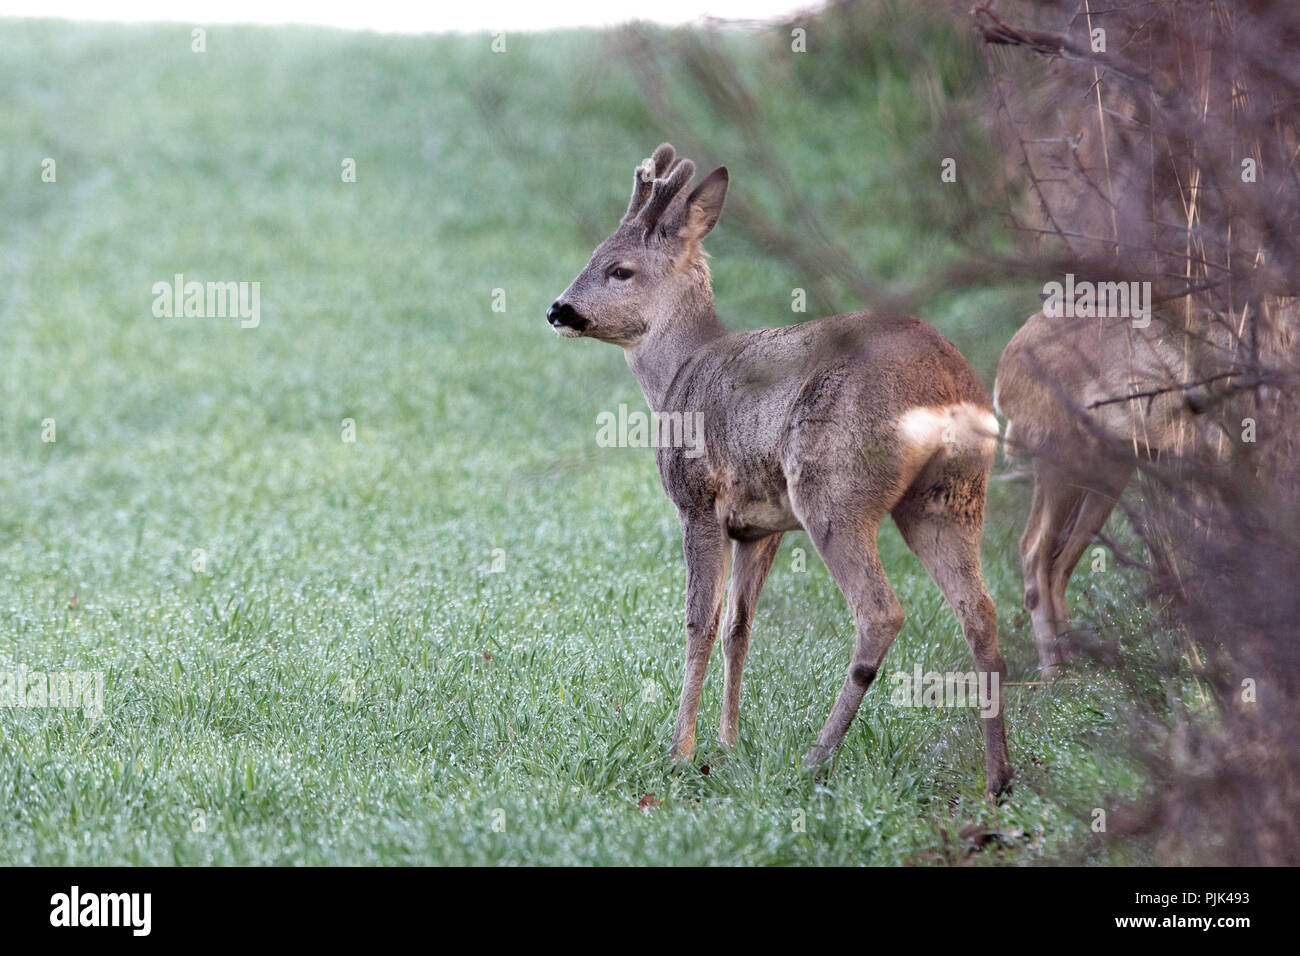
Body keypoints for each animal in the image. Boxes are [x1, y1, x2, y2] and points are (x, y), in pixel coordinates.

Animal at [547, 144, 1013, 797]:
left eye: (619, 269)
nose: (557, 310)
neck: (677, 375)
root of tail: (945, 387)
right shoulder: (759, 526)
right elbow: (739, 629)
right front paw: (728, 743)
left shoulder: (699, 500)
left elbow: (701, 622)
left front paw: (680, 752)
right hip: (953, 494)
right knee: (980, 611)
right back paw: (998, 779)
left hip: (833, 487)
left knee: (881, 611)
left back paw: (816, 759)